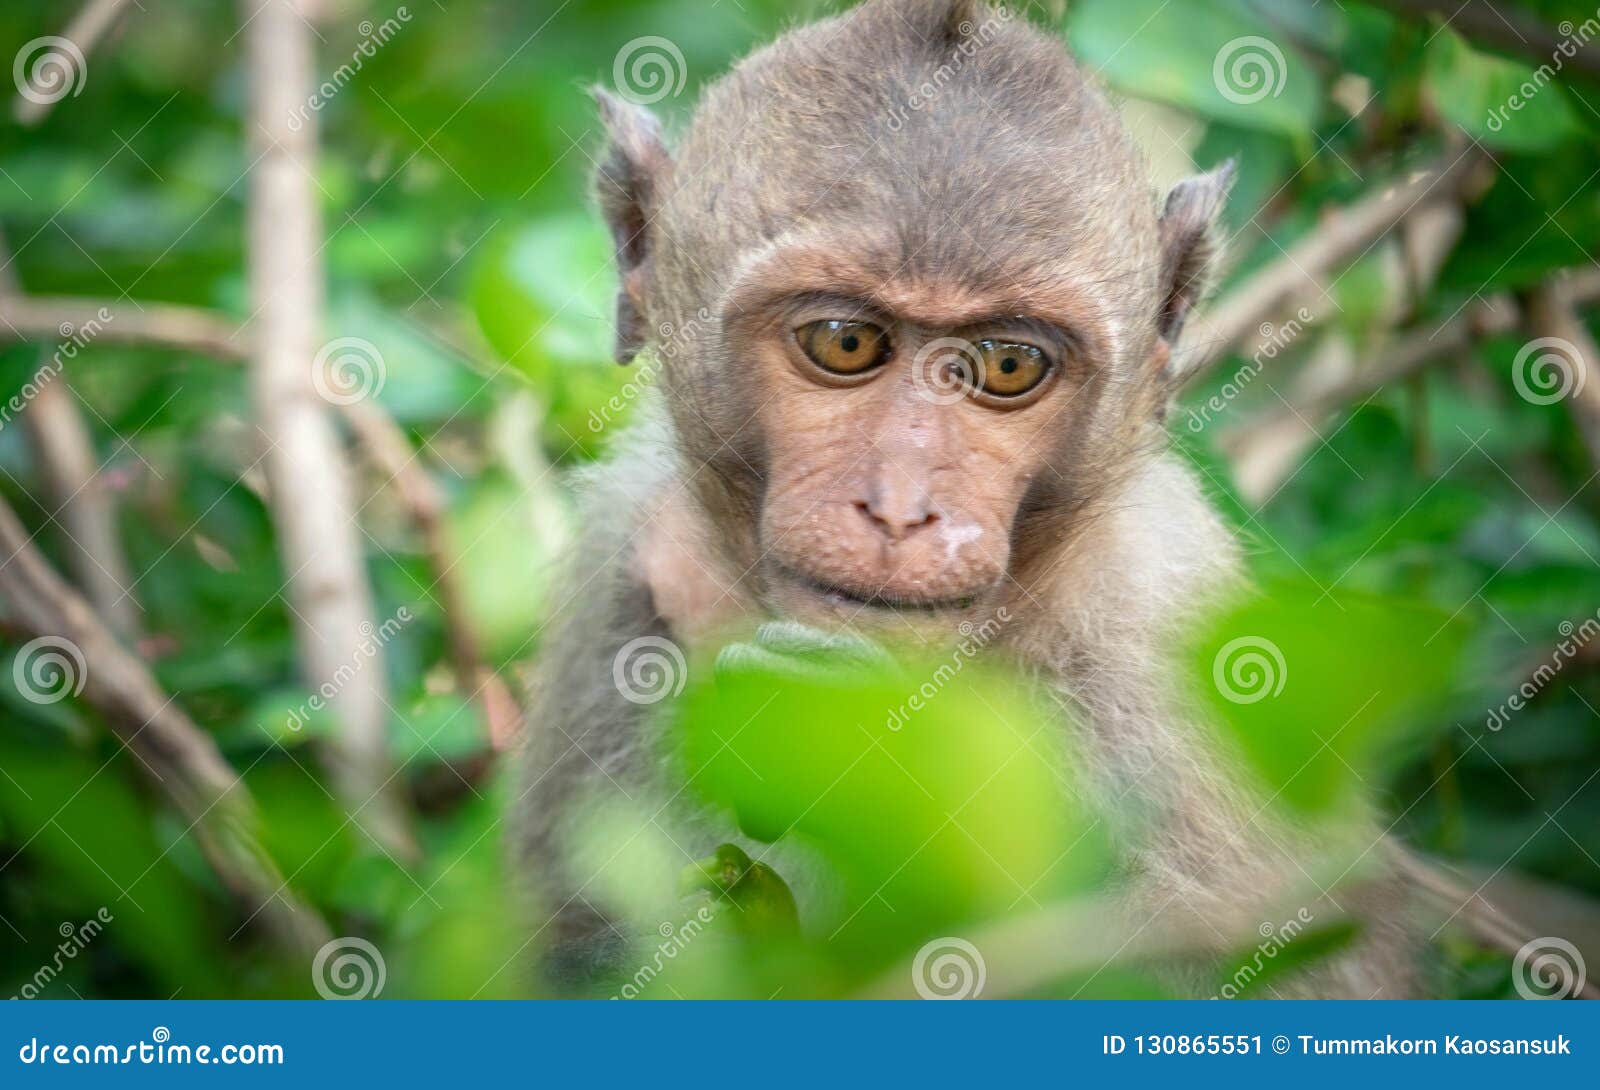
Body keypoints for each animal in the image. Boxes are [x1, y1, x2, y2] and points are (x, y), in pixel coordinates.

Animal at [511, 0, 1421, 997]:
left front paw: (873, 760)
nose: (902, 509)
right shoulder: (624, 560)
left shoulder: (1173, 651)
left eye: (1009, 364)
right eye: (844, 341)